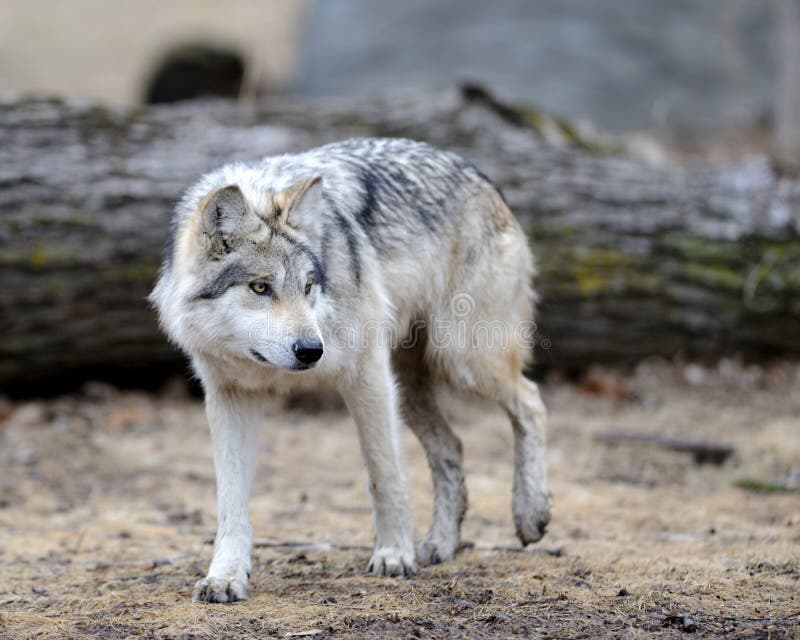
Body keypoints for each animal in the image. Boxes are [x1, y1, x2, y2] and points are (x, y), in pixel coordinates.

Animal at [150, 137, 549, 603]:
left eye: (308, 287)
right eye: (260, 287)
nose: (312, 351)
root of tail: (479, 173)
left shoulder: (365, 374)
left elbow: (384, 474)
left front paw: (394, 555)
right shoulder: (231, 397)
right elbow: (230, 502)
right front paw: (225, 576)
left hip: (460, 358)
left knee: (531, 401)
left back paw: (531, 514)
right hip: (411, 388)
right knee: (453, 446)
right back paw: (440, 543)